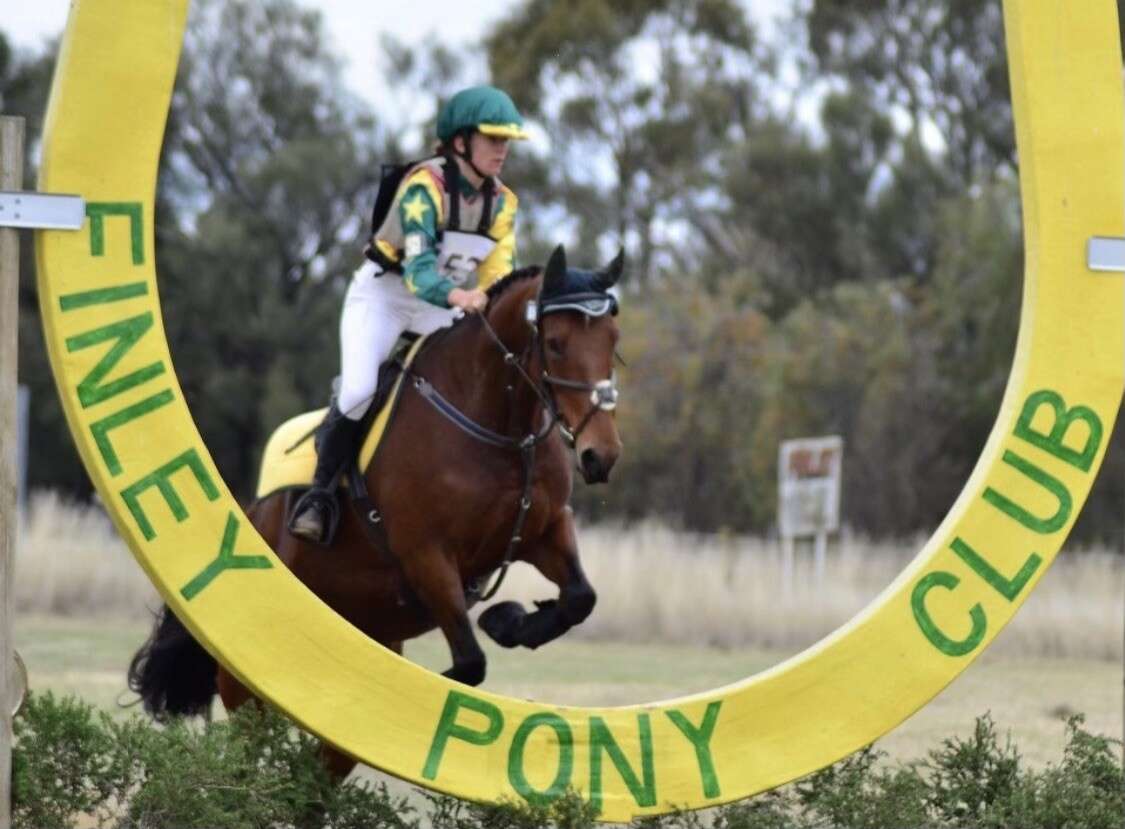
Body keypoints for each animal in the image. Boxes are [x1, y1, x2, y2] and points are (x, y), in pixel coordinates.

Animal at [127, 245, 624, 778]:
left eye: (613, 340)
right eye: (555, 343)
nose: (601, 455)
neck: (502, 429)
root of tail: (252, 514)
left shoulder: (546, 529)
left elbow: (579, 597)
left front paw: (507, 621)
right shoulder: (427, 555)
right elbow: (470, 662)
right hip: (250, 677)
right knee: (247, 744)